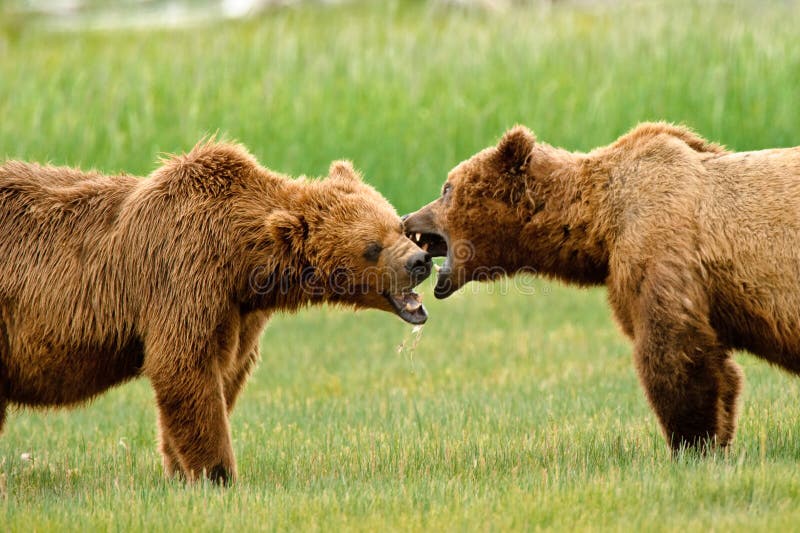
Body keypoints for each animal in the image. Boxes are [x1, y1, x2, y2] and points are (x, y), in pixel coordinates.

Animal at [0, 140, 432, 484]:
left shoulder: (238, 311)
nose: (419, 261)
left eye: (398, 224)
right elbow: (185, 367)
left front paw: (179, 469)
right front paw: (217, 473)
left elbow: (226, 372)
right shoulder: (185, 276)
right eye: (372, 247)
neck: (242, 261)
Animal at [403, 122, 800, 451]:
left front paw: (691, 443)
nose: (407, 219)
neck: (600, 218)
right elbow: (717, 367)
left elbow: (673, 349)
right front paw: (716, 437)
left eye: (447, 188)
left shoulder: (658, 245)